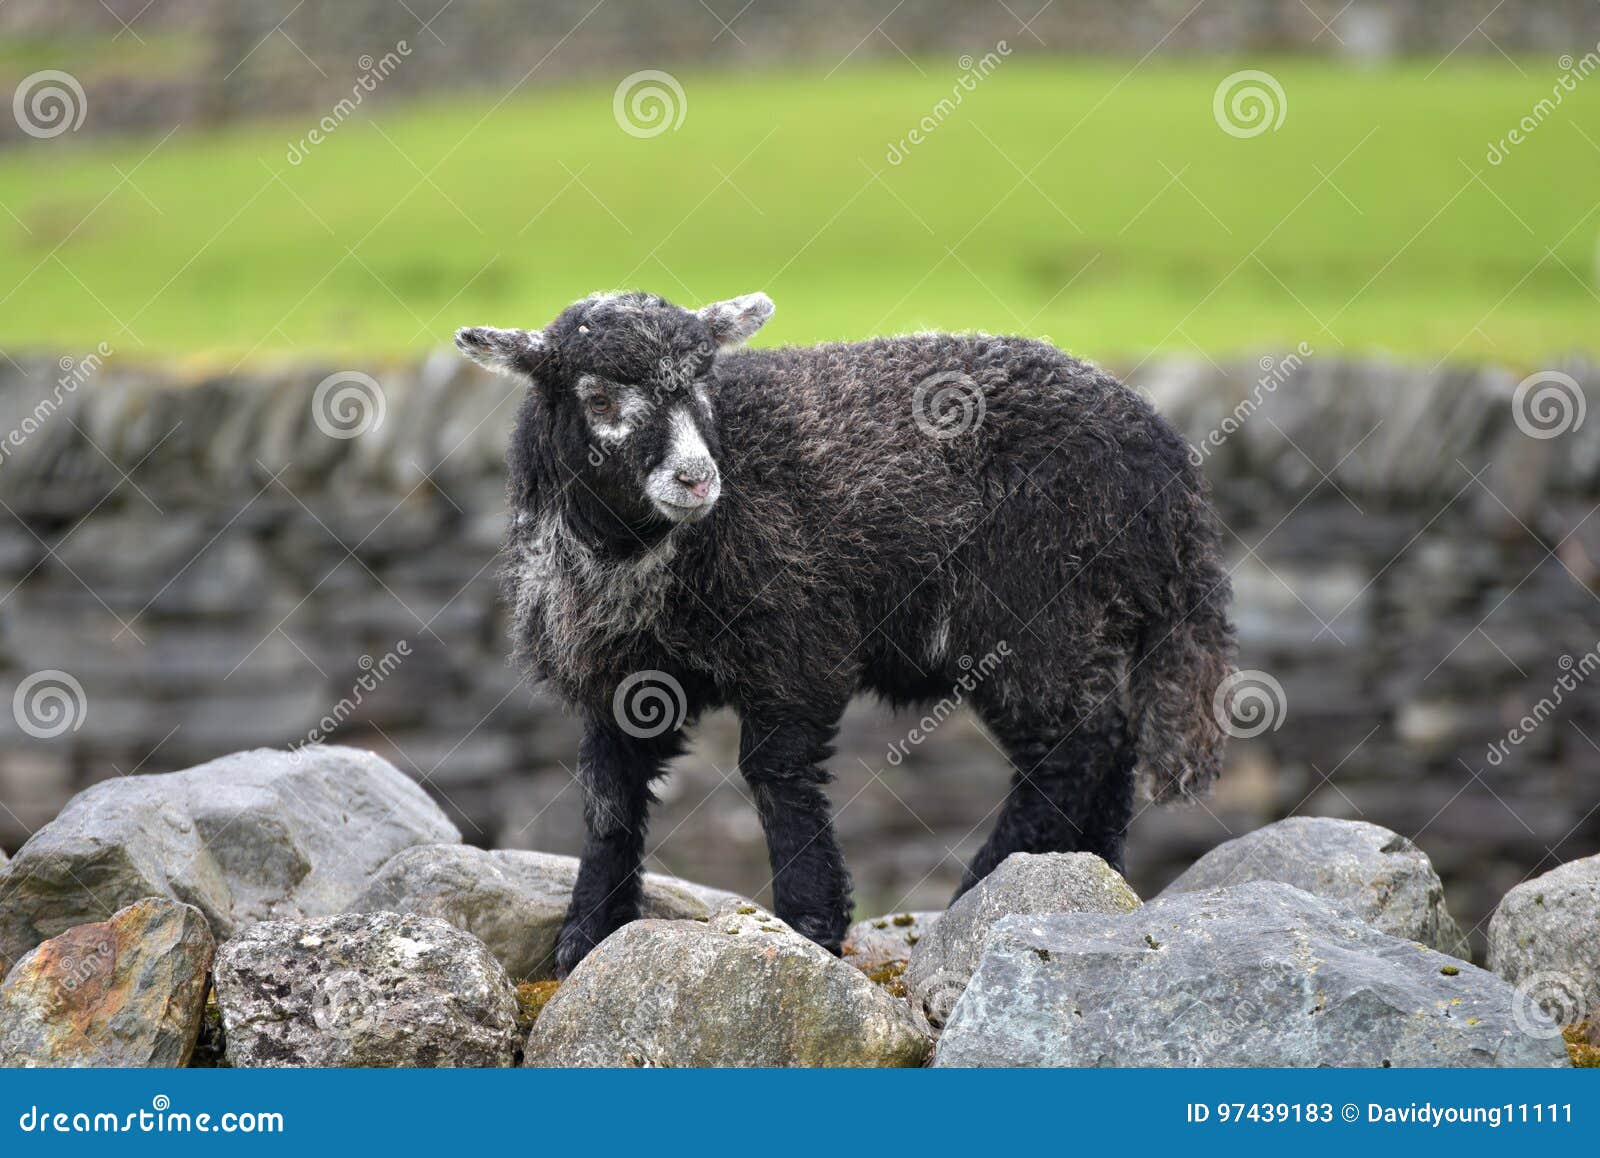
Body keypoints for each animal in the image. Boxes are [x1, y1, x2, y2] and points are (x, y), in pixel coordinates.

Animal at [455, 290, 1235, 975]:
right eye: (599, 400)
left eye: (704, 384)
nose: (698, 478)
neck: (642, 555)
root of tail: (1170, 471)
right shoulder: (621, 676)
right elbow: (609, 797)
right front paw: (586, 933)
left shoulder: (797, 646)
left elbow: (778, 776)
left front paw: (811, 923)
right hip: (1085, 616)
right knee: (1112, 742)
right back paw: (1098, 876)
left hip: (1036, 611)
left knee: (1074, 748)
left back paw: (984, 888)